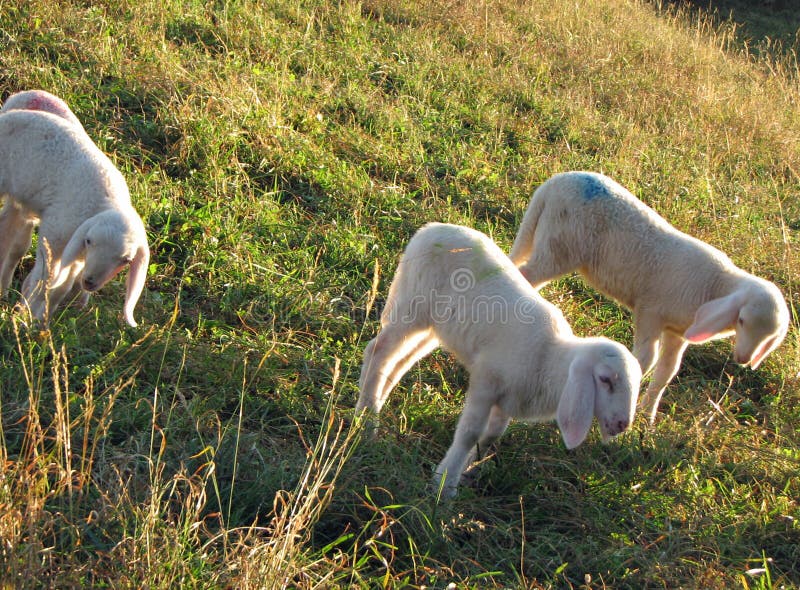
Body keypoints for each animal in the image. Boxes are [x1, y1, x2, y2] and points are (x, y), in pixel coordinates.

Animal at [0, 106, 150, 327]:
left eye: (126, 260)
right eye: (89, 241)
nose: (89, 281)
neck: (103, 204)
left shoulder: (76, 254)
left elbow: (61, 287)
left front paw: (40, 318)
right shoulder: (54, 236)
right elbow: (44, 280)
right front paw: (27, 316)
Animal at [356, 222, 642, 497]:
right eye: (605, 380)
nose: (622, 425)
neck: (550, 359)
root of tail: (430, 229)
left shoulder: (511, 399)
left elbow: (489, 437)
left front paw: (465, 472)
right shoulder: (486, 381)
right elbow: (469, 435)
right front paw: (443, 486)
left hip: (434, 328)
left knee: (399, 362)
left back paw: (377, 402)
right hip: (413, 306)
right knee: (378, 351)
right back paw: (367, 420)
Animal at [510, 171, 790, 424]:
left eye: (770, 338)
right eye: (742, 320)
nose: (743, 360)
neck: (715, 286)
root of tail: (553, 184)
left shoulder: (678, 332)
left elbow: (668, 371)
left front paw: (649, 417)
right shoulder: (651, 311)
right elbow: (646, 359)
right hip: (560, 247)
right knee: (526, 274)